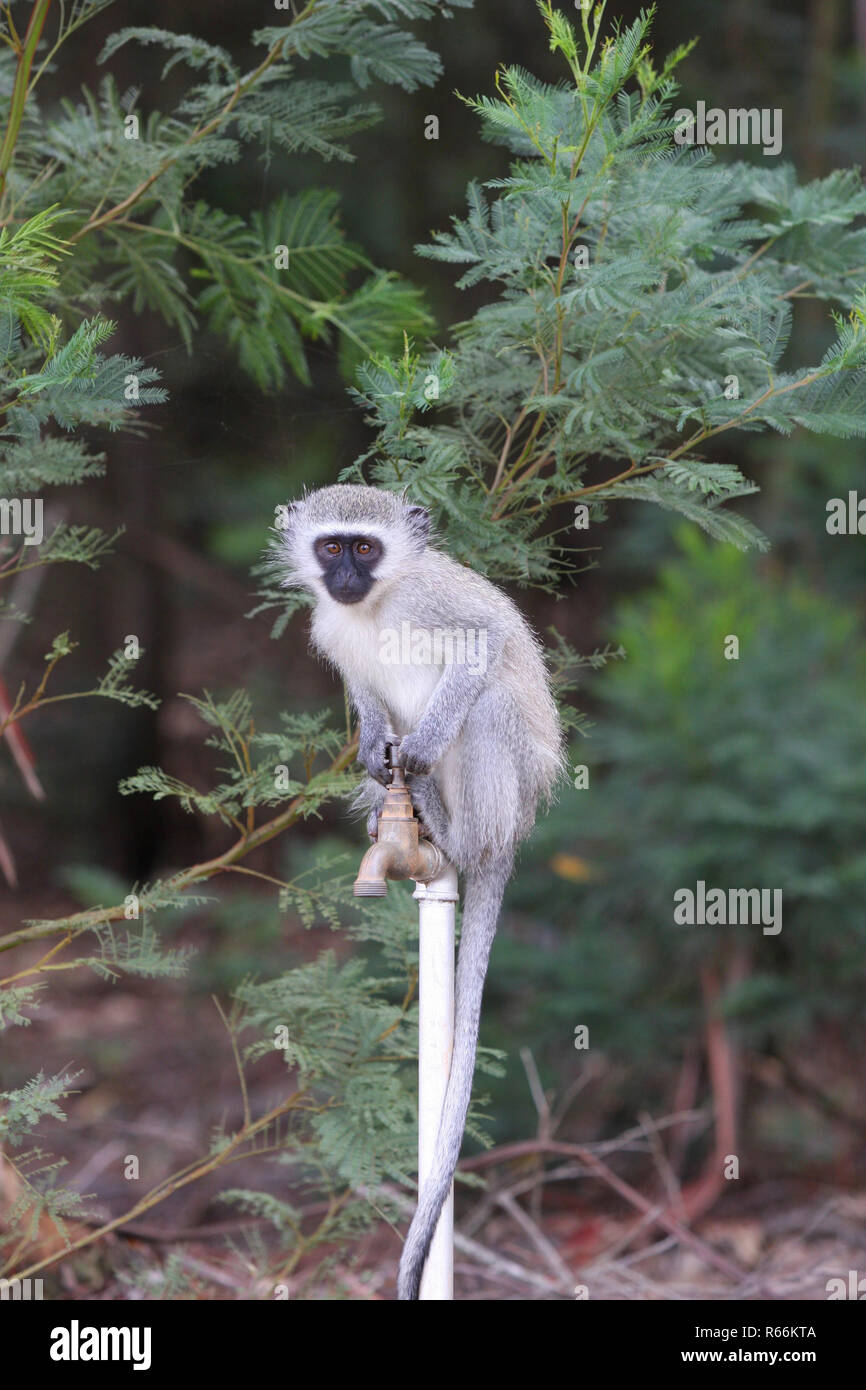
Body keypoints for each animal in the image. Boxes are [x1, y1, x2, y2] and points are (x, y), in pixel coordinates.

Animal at [279, 484, 563, 1300]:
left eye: (364, 548)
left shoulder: (434, 603)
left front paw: (426, 743)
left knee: (491, 702)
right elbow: (366, 694)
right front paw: (376, 737)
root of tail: (509, 832)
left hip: (504, 789)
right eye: (331, 546)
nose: (345, 576)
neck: (377, 605)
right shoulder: (332, 627)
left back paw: (444, 821)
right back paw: (397, 801)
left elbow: (480, 646)